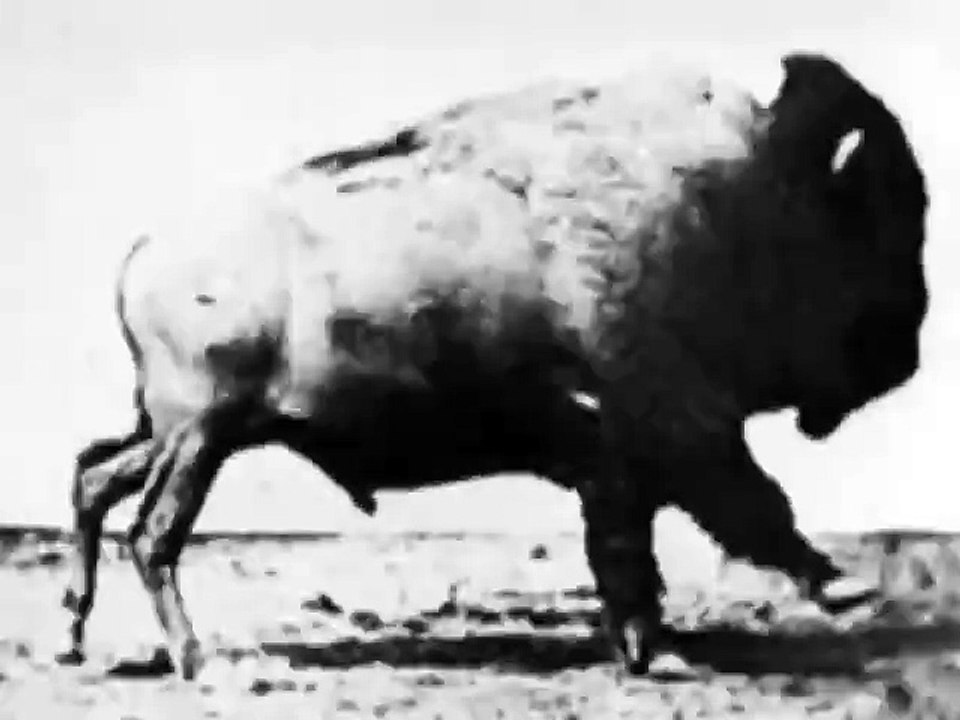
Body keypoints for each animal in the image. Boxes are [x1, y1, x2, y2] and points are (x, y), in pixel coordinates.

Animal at [59, 52, 928, 680]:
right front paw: (840, 586)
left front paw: (651, 649)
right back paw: (193, 659)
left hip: (183, 433)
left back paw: (77, 635)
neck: (740, 191)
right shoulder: (674, 420)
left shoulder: (617, 455)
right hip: (199, 438)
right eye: (876, 214)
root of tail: (144, 255)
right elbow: (745, 504)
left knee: (96, 479)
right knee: (152, 533)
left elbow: (631, 547)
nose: (907, 349)